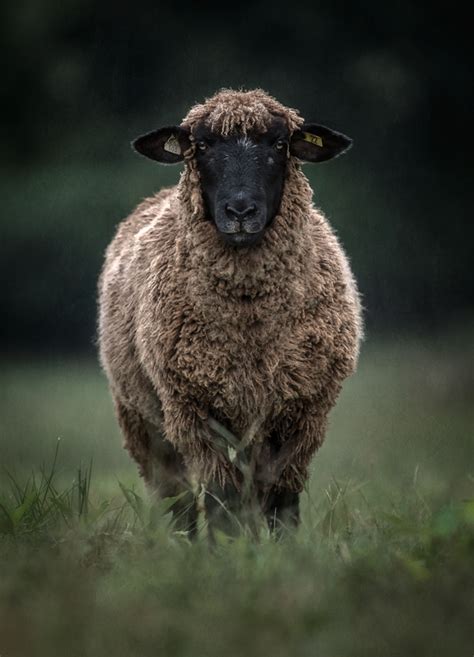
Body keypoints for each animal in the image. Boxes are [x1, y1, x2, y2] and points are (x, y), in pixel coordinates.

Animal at [98, 89, 363, 535]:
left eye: (280, 144)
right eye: (201, 146)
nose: (240, 212)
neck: (247, 317)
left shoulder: (302, 409)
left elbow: (280, 496)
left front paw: (282, 547)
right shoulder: (193, 408)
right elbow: (223, 498)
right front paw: (226, 547)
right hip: (141, 416)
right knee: (177, 495)